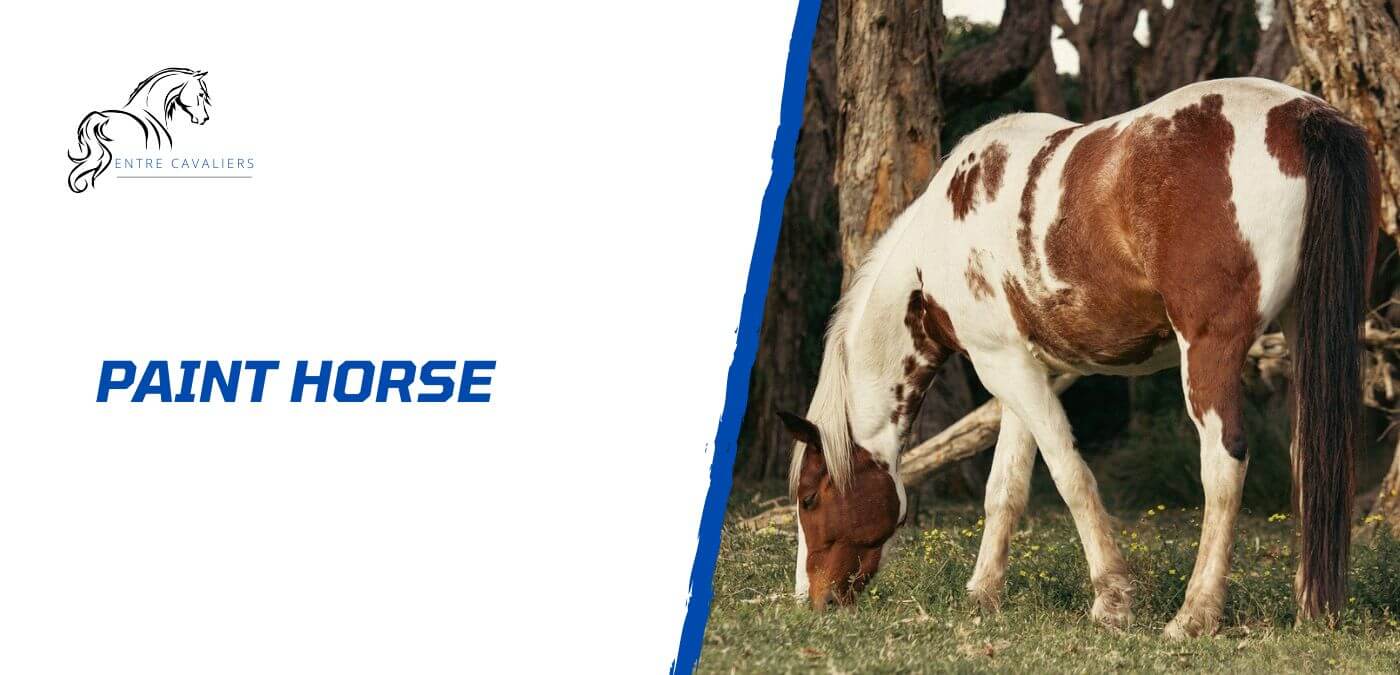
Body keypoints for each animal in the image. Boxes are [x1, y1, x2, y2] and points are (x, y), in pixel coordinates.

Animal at [777, 77, 1379, 639]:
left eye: (808, 499)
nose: (814, 600)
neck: (938, 242)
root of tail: (1303, 115)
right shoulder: (1021, 370)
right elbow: (1005, 489)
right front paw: (982, 594)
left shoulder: (1004, 366)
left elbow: (1070, 476)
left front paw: (1111, 601)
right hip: (1306, 333)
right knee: (1312, 455)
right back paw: (1312, 608)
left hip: (1209, 353)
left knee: (1223, 464)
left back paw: (1193, 616)